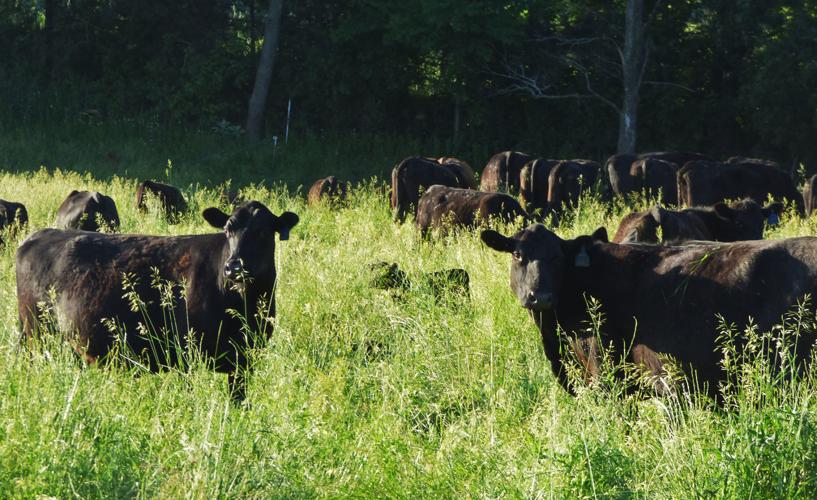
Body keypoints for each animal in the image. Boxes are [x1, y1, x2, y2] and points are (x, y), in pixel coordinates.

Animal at [17, 201, 299, 400]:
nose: (234, 267)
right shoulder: (186, 353)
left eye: (263, 231)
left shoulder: (245, 358)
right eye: (228, 229)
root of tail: (39, 235)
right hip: (38, 335)